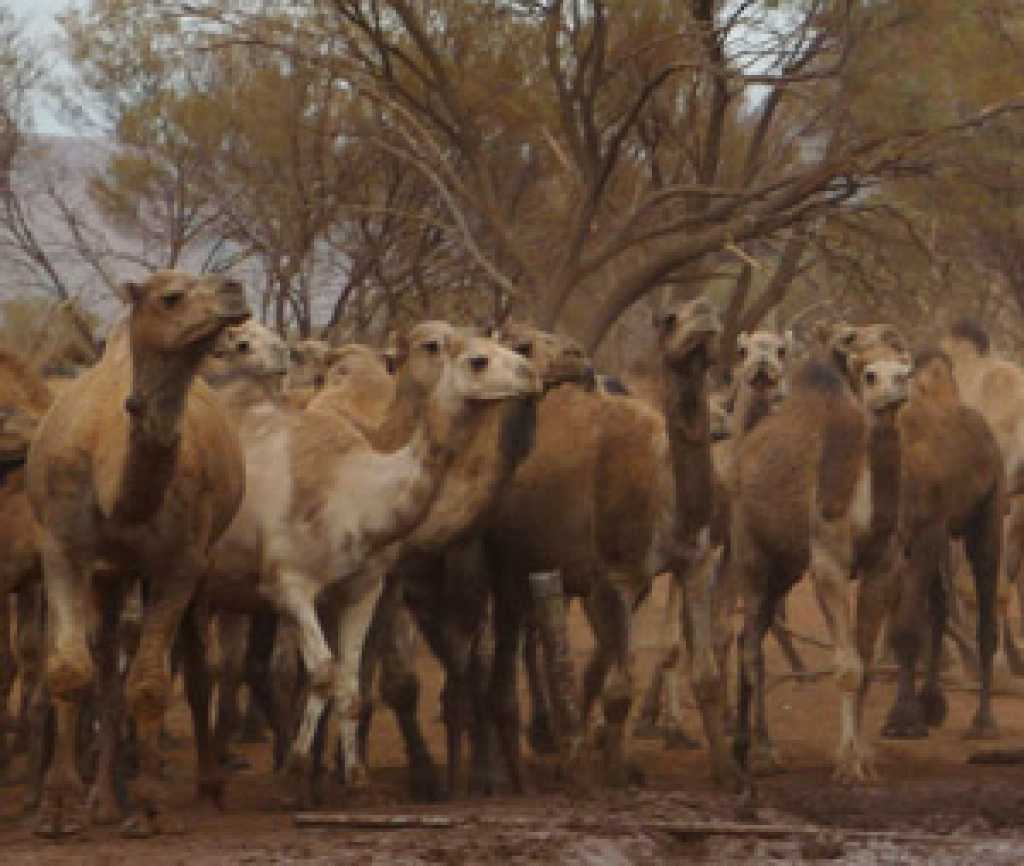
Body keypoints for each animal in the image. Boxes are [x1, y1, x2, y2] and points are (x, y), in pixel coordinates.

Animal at [25, 271, 250, 837]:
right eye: (171, 297)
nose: (235, 288)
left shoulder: (181, 562)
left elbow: (149, 682)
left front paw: (149, 807)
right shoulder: (62, 548)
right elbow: (70, 669)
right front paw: (56, 808)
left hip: (196, 562)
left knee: (197, 665)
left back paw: (208, 788)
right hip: (112, 575)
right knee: (107, 665)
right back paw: (104, 800)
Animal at [729, 339, 911, 783]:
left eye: (906, 370)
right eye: (870, 375)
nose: (896, 389)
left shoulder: (884, 566)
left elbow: (865, 666)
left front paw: (863, 757)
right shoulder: (827, 562)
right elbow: (847, 667)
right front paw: (846, 764)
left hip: (786, 564)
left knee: (748, 635)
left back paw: (753, 746)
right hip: (749, 549)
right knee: (752, 644)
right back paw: (759, 752)